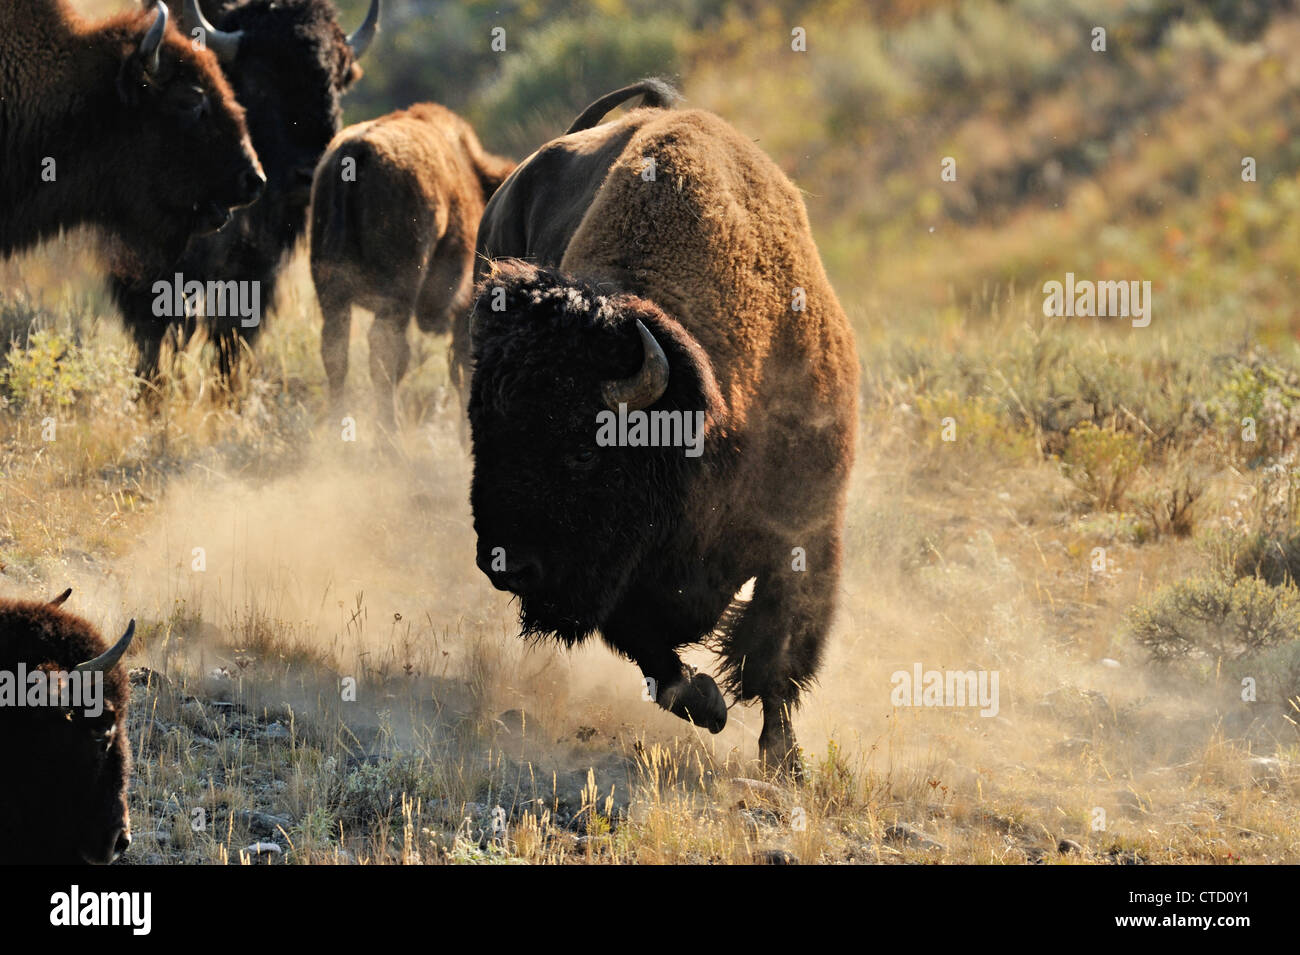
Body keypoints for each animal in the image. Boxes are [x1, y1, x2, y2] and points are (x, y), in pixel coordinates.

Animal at [109, 0, 380, 384]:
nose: (310, 173)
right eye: (261, 79)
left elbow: (232, 337)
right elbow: (160, 331)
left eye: (336, 81)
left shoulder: (257, 270)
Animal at [309, 102, 515, 425]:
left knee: (336, 350)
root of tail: (357, 149)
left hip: (332, 292)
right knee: (385, 350)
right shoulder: (465, 305)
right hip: (399, 292)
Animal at [467, 84, 859, 775]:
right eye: (482, 436)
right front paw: (707, 704)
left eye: (583, 454)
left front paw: (783, 759)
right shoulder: (624, 572)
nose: (505, 566)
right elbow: (645, 641)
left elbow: (776, 646)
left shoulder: (806, 529)